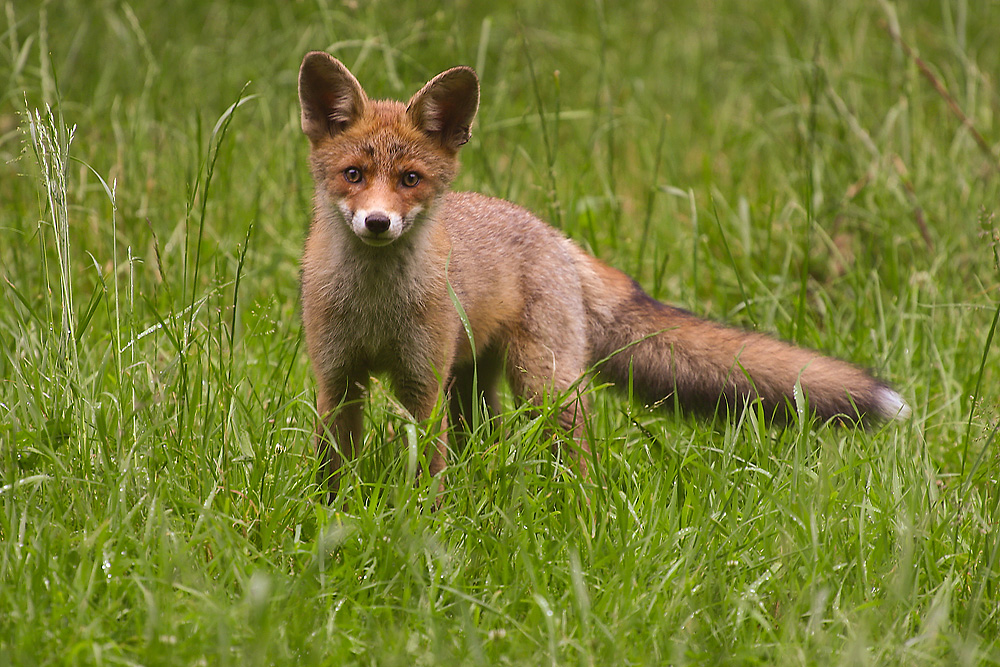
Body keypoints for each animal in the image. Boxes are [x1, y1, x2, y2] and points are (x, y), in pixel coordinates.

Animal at [297, 51, 910, 502]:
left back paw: (579, 513)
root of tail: (554, 236)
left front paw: (426, 522)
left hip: (542, 384)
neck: (376, 308)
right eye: (353, 175)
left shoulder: (420, 385)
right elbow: (332, 470)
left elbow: (428, 471)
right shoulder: (338, 378)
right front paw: (334, 518)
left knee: (576, 454)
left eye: (410, 179)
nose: (378, 223)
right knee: (487, 439)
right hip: (472, 383)